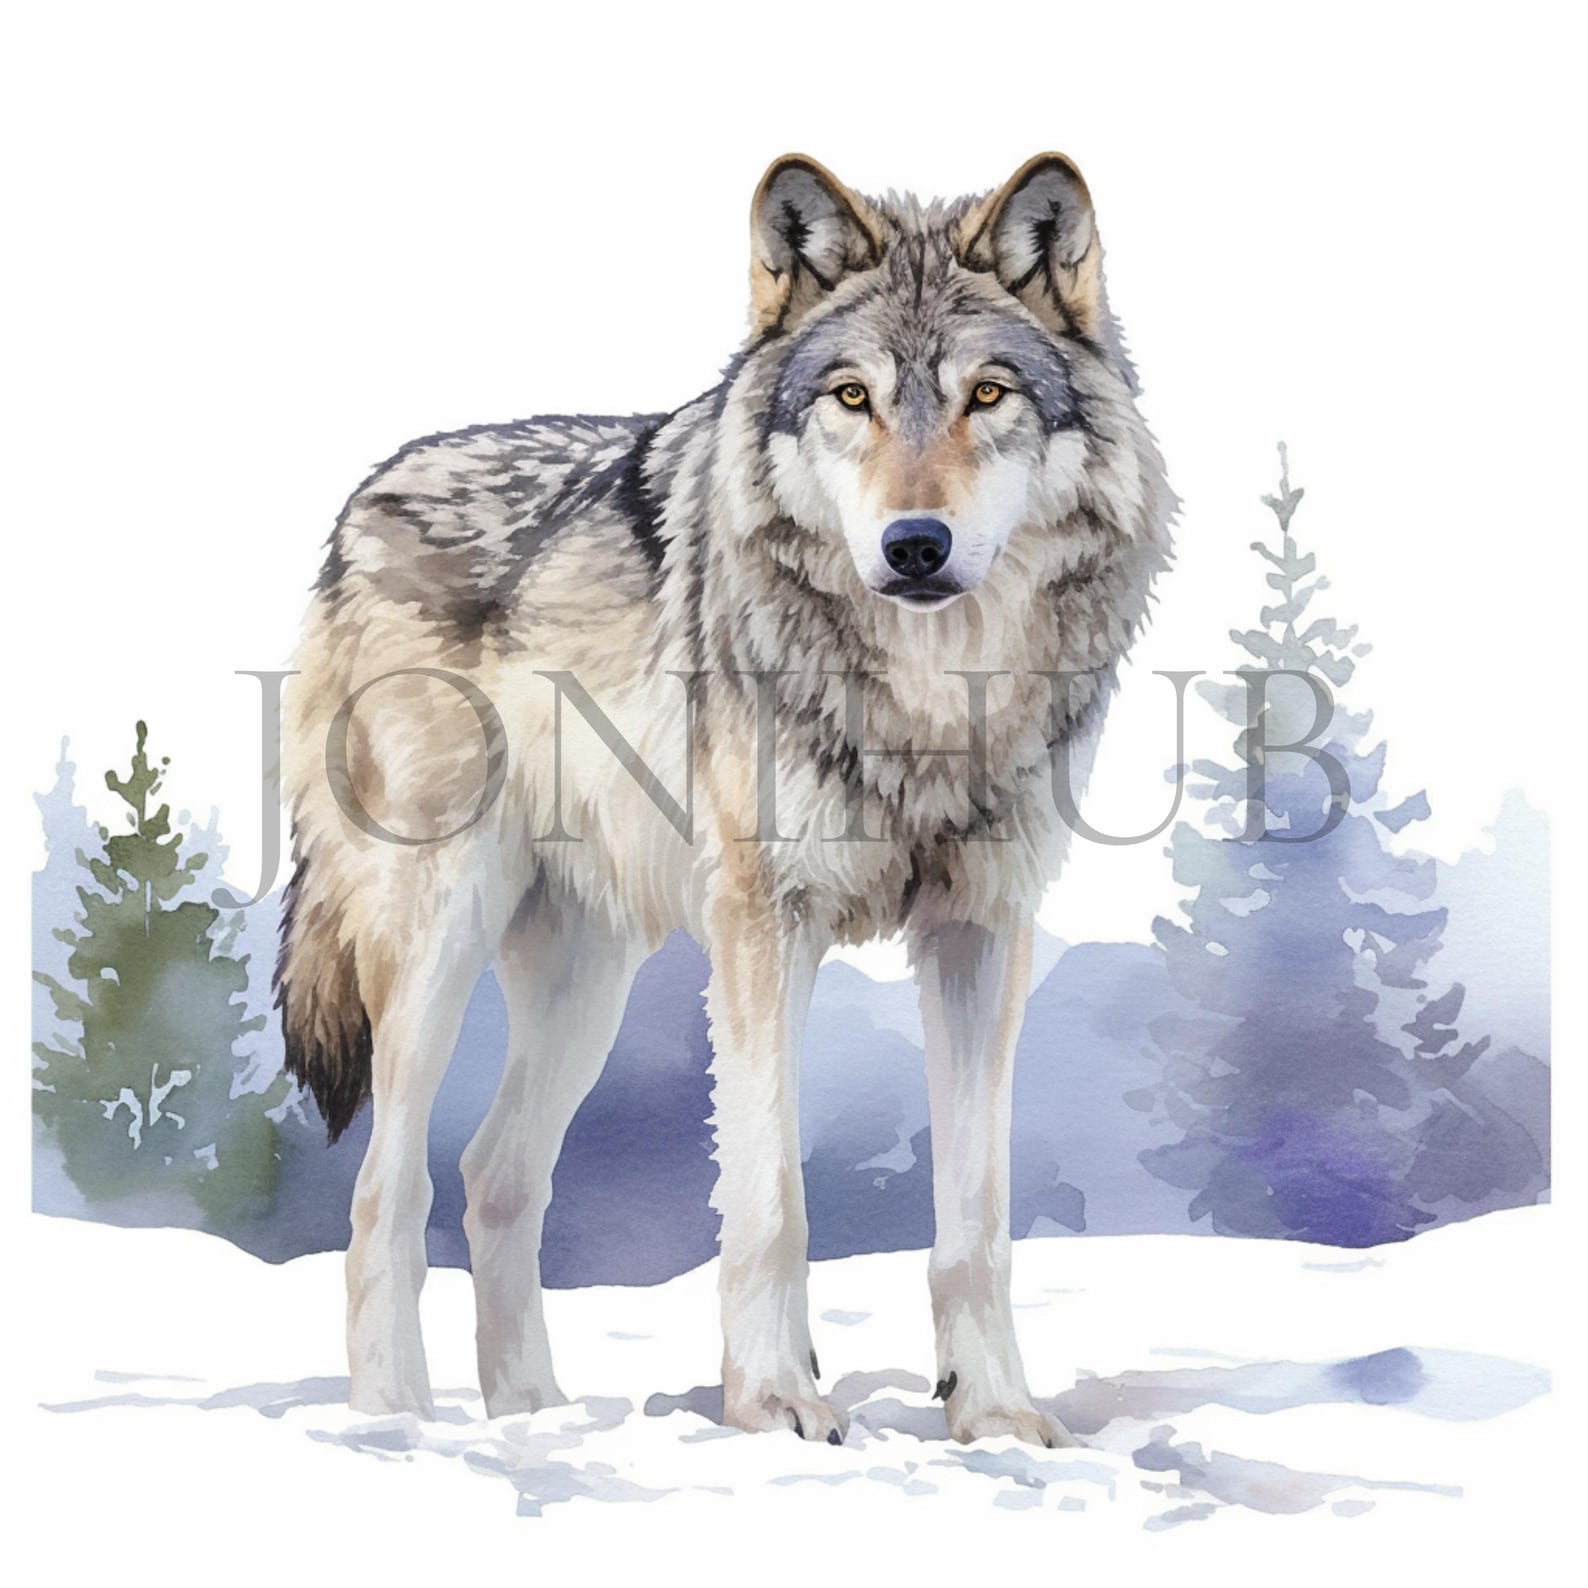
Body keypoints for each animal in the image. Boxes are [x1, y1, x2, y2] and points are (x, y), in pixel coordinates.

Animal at [276, 153, 1173, 1449]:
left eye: (988, 393)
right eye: (850, 398)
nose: (914, 544)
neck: (929, 702)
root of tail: (361, 503)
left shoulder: (981, 931)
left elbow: (977, 1221)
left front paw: (997, 1413)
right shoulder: (764, 925)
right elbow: (770, 1200)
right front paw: (773, 1402)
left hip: (585, 978)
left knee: (496, 1174)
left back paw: (535, 1414)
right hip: (438, 938)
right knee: (381, 1192)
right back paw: (398, 1418)